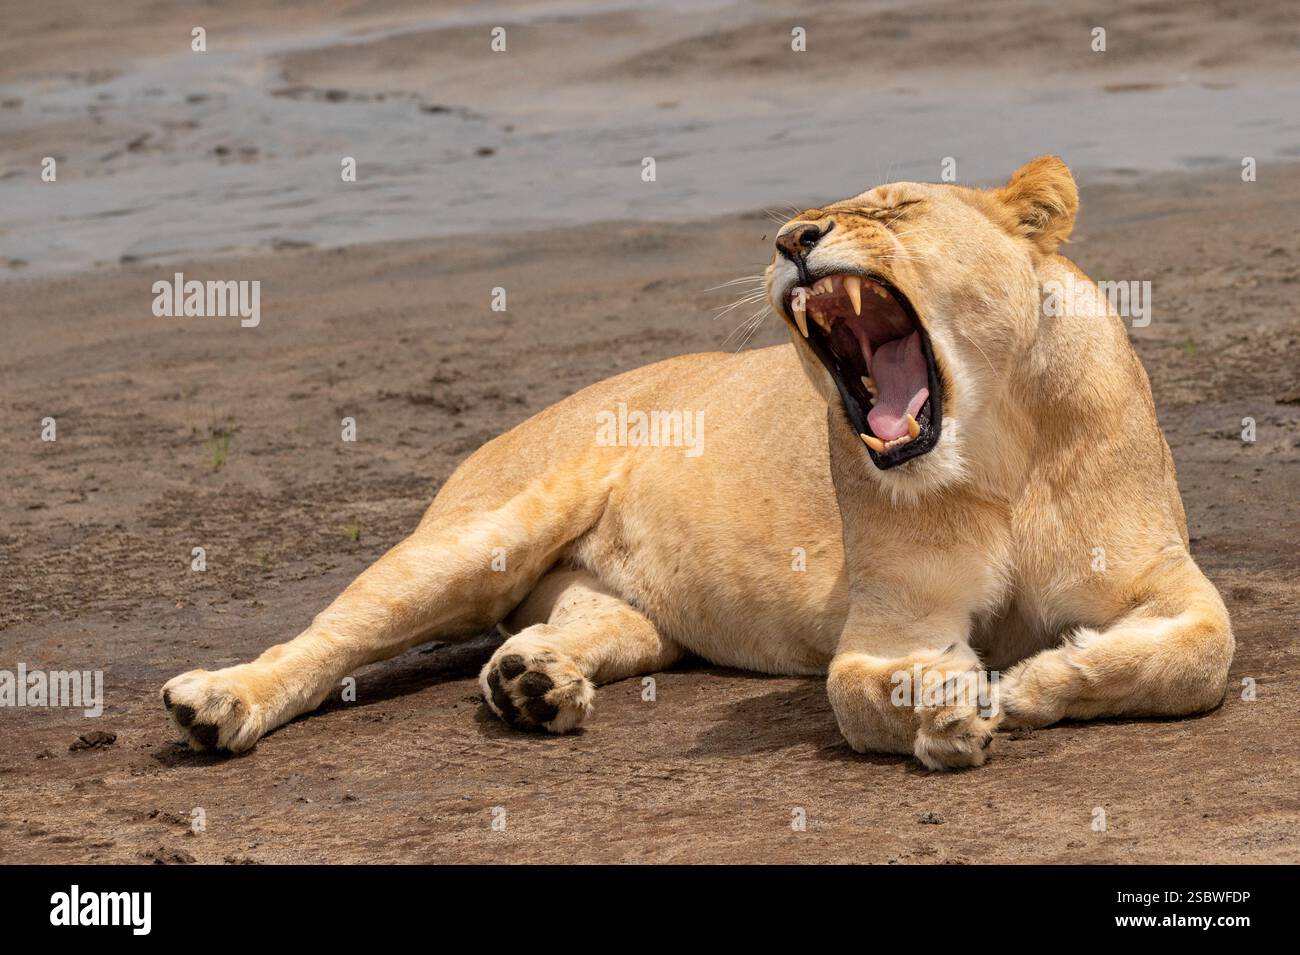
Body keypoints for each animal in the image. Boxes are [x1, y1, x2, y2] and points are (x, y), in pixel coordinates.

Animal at [161, 156, 1233, 769]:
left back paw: (531, 685)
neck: (992, 445)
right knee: (326, 638)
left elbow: (1200, 656)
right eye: (803, 220)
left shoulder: (1166, 579)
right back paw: (218, 702)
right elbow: (861, 693)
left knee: (560, 631)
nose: (793, 238)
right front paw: (947, 708)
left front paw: (1042, 680)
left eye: (895, 208)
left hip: (626, 617)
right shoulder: (889, 622)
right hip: (476, 536)